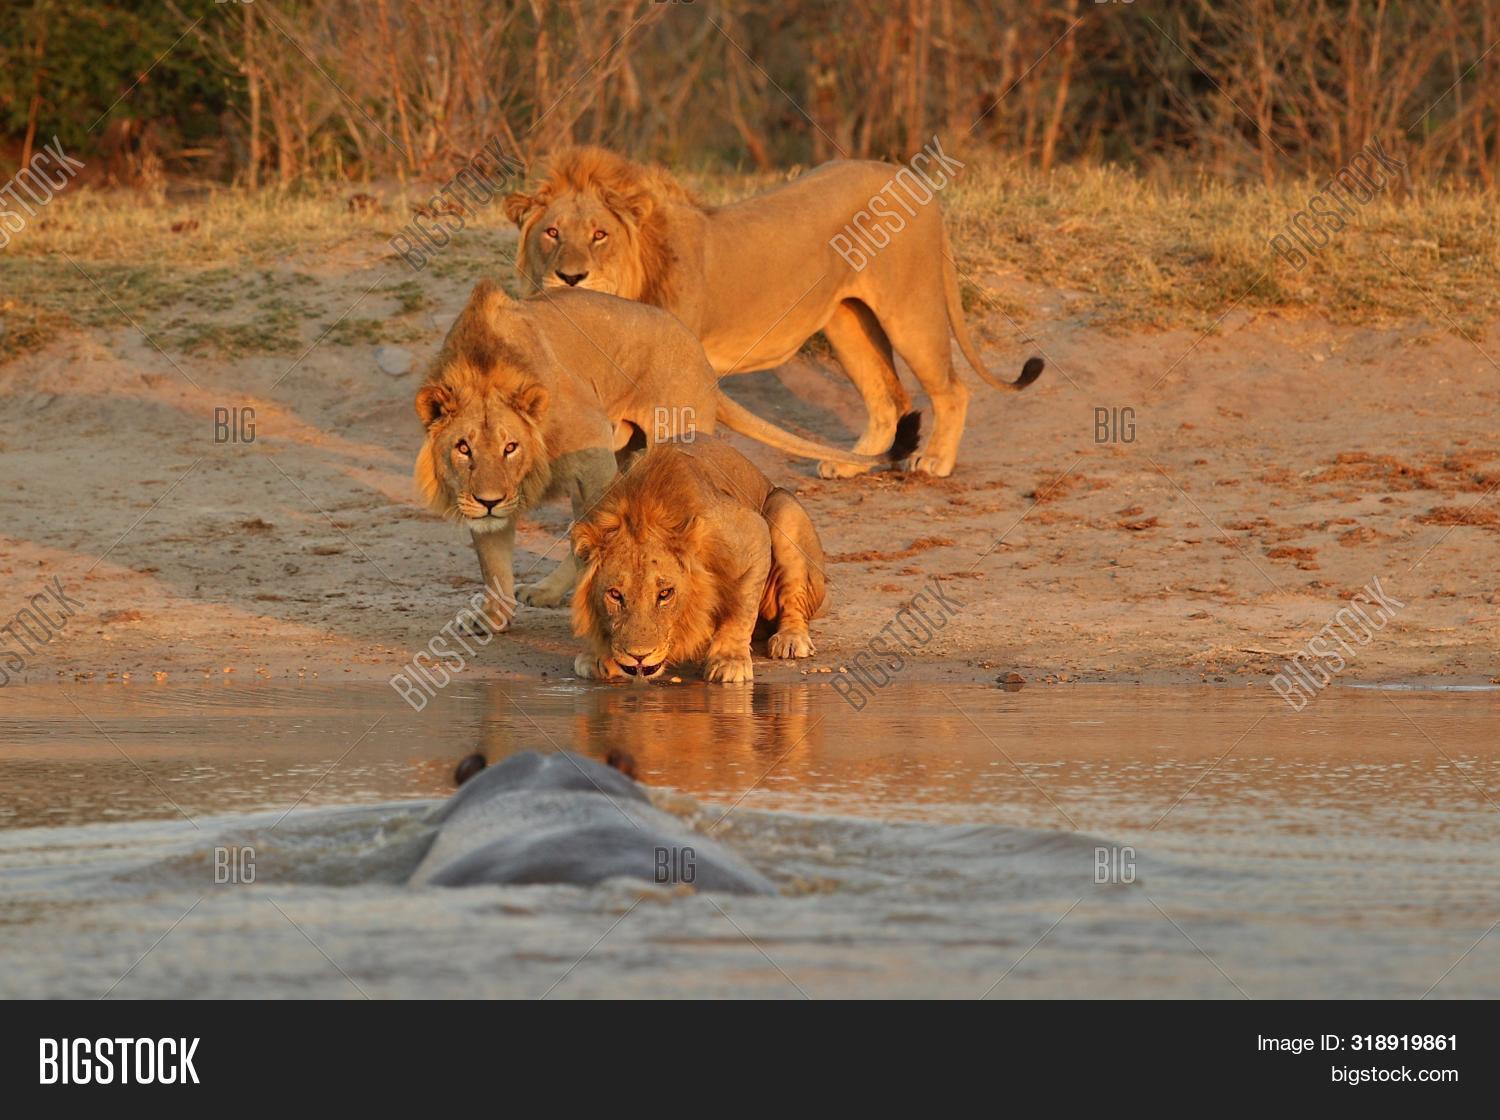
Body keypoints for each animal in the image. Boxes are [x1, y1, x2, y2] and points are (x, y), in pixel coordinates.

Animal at [415, 278, 896, 631]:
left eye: (510, 447)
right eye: (463, 448)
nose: (489, 500)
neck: (483, 367)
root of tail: (700, 355)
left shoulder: (592, 451)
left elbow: (584, 536)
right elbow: (493, 562)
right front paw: (492, 618)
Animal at [504, 145, 1044, 479]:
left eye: (600, 235)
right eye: (552, 233)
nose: (571, 277)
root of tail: (910, 180)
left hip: (909, 310)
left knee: (951, 388)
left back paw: (934, 461)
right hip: (847, 324)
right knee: (887, 399)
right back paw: (853, 463)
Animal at [570, 438, 826, 684]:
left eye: (665, 594)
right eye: (615, 594)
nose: (639, 656)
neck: (641, 509)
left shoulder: (752, 534)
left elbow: (741, 608)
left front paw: (729, 661)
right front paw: (597, 655)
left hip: (784, 507)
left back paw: (790, 639)